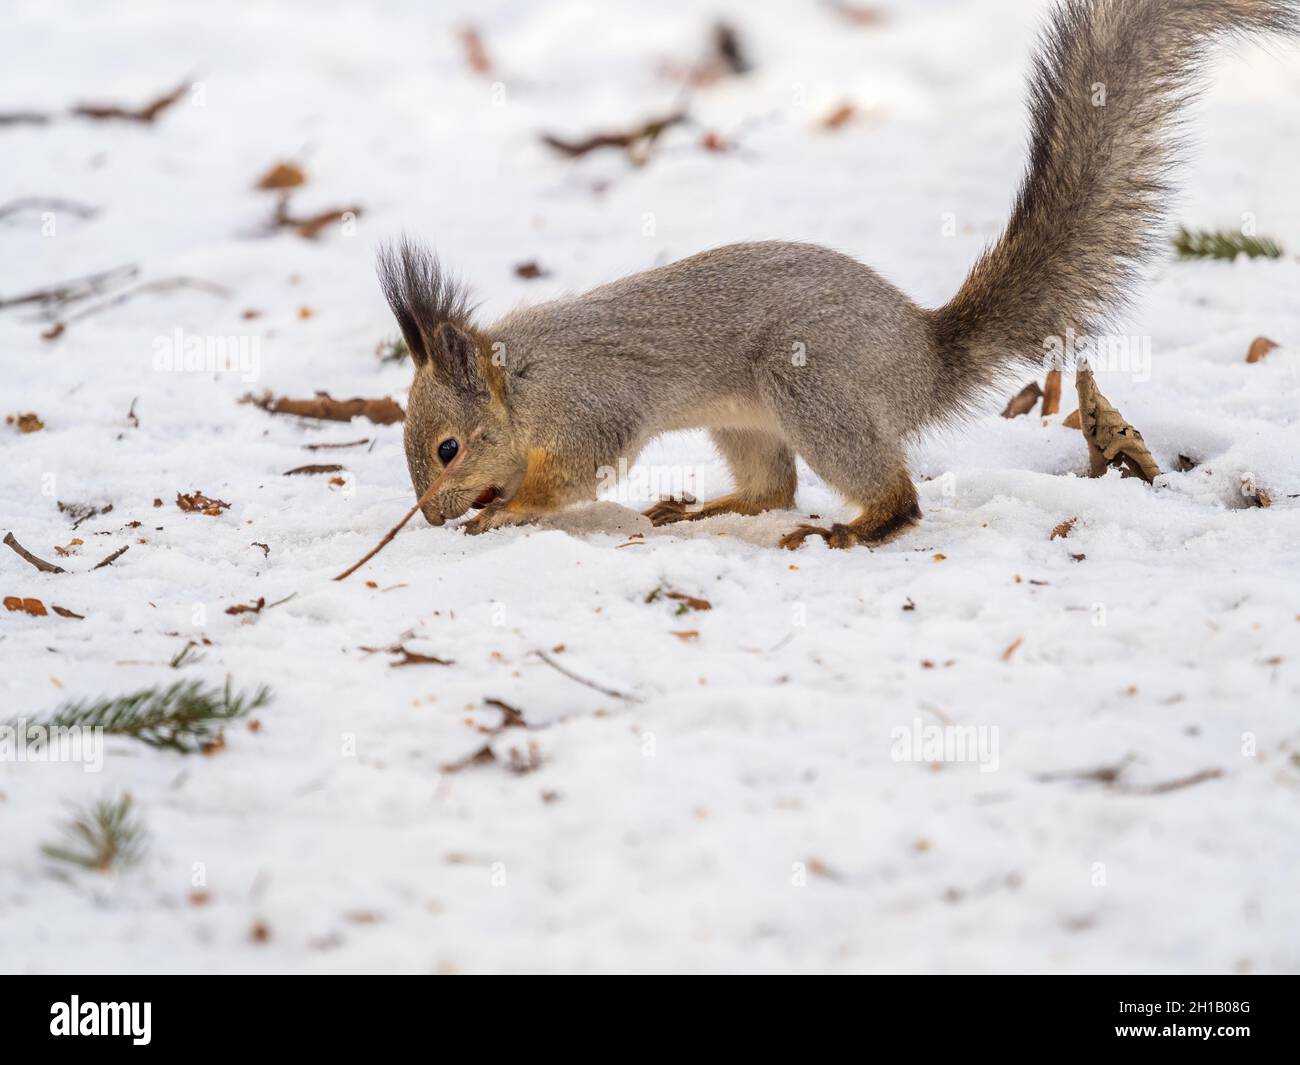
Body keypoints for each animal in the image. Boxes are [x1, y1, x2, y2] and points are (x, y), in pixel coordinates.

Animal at [380, 0, 1297, 550]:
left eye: (449, 447)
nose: (431, 515)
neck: (521, 382)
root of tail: (924, 357)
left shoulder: (590, 408)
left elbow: (572, 476)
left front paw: (509, 509)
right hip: (747, 419)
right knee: (771, 489)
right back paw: (705, 507)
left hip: (812, 384)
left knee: (888, 492)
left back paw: (855, 528)